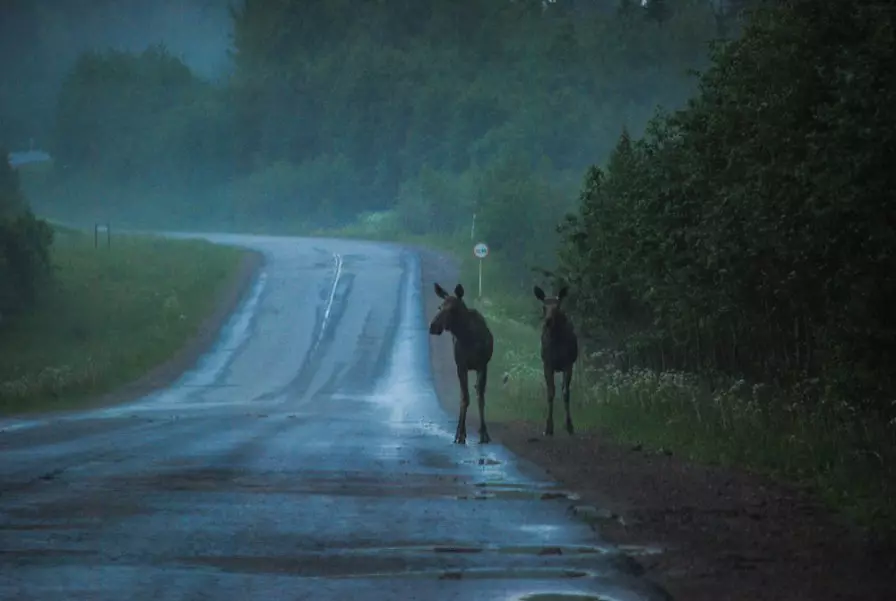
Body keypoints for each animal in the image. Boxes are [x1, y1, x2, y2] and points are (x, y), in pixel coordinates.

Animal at [428, 284, 494, 442]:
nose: (432, 326)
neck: (468, 336)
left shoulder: (483, 365)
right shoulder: (461, 366)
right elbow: (465, 398)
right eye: (440, 307)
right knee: (462, 396)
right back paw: (458, 429)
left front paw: (484, 433)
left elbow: (480, 397)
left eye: (452, 309)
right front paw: (461, 434)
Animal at [532, 284, 580, 434]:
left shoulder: (568, 364)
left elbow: (566, 393)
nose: (548, 321)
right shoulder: (547, 365)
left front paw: (570, 425)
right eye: (544, 306)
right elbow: (551, 393)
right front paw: (548, 427)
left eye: (557, 306)